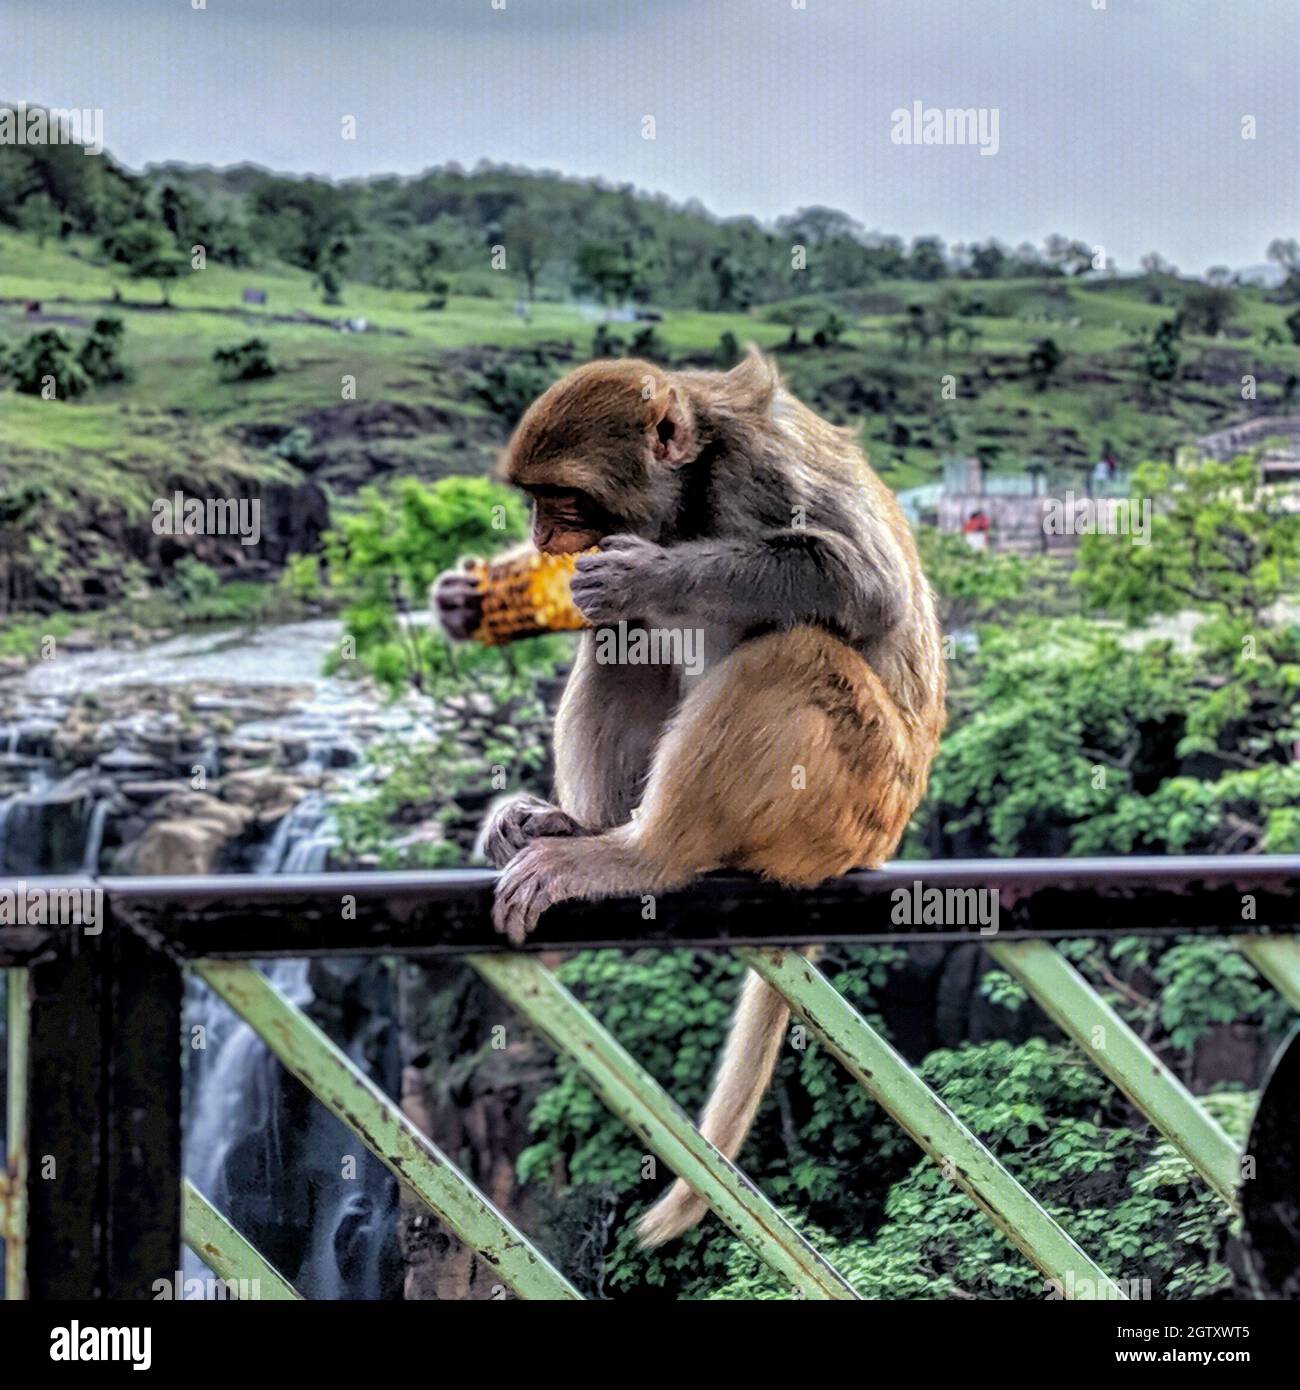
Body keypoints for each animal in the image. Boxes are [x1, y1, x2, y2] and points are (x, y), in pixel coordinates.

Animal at [433, 350, 945, 1246]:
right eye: (534, 501)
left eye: (565, 499)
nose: (543, 540)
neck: (694, 485)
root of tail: (881, 843)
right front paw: (466, 600)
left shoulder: (765, 470)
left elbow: (866, 584)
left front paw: (648, 571)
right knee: (624, 635)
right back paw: (581, 825)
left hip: (851, 799)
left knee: (797, 650)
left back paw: (638, 854)